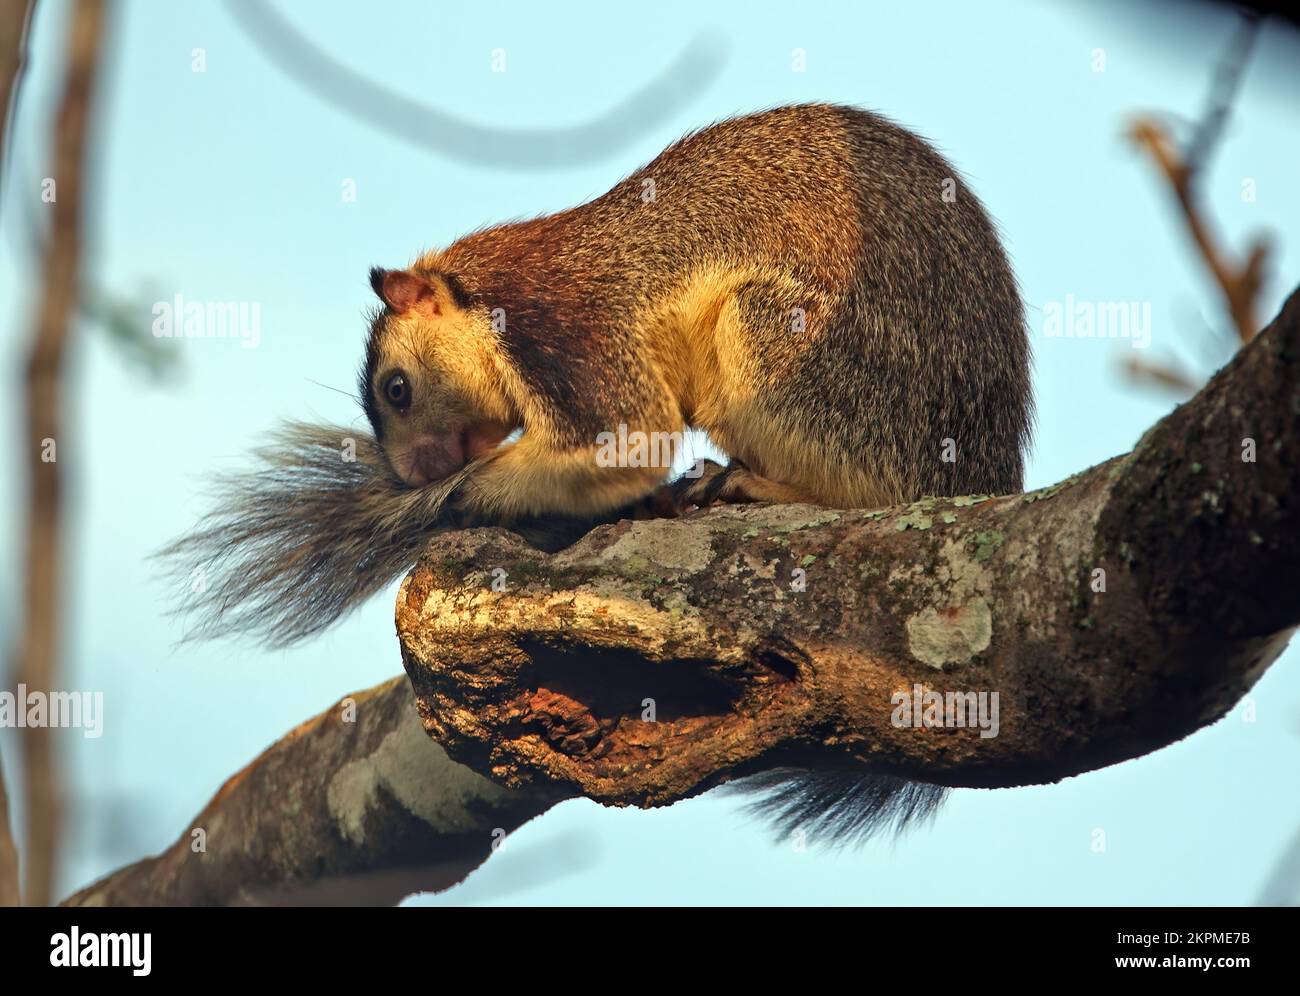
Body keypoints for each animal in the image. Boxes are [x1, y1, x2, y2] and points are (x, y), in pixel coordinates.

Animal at [169, 103, 1032, 844]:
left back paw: (756, 483)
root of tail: (981, 473)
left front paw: (456, 496)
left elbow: (631, 440)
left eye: (397, 388)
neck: (493, 293)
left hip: (804, 358)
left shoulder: (569, 331)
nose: (417, 470)